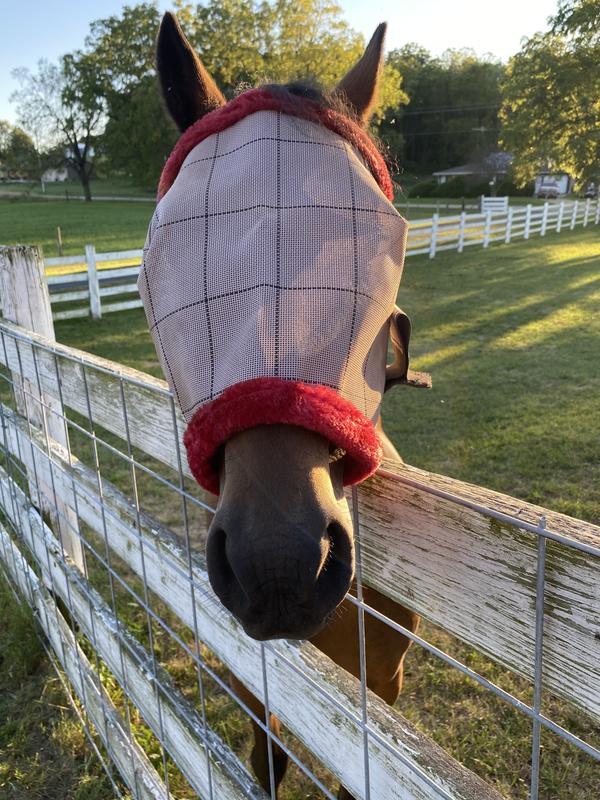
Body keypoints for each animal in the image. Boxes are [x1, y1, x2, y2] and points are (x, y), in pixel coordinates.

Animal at [141, 12, 429, 798]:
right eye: (164, 248)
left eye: (384, 236)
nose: (279, 564)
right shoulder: (256, 687)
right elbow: (263, 763)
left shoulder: (382, 698)